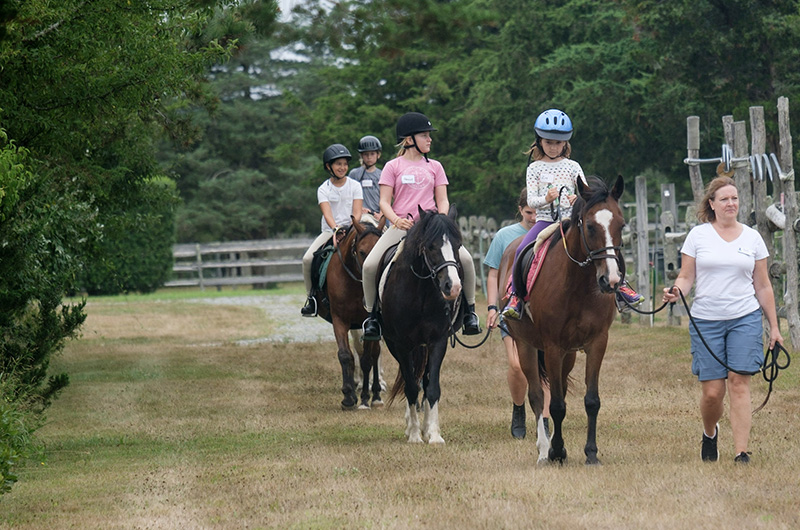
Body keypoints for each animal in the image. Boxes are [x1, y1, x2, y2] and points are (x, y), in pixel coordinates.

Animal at [314, 217, 386, 410]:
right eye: (361, 252)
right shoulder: (340, 320)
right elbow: (346, 355)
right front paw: (348, 396)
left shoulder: (368, 324)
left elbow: (367, 359)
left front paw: (364, 398)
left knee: (375, 354)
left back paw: (376, 395)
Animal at [377, 207, 466, 444]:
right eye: (431, 246)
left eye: (458, 245)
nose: (453, 287)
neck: (422, 292)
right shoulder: (401, 344)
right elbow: (410, 387)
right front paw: (415, 435)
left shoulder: (437, 341)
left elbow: (432, 387)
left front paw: (433, 435)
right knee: (413, 380)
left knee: (423, 381)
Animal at [500, 174, 625, 465]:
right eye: (590, 226)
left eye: (621, 224)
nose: (611, 280)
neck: (579, 286)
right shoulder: (552, 346)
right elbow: (555, 404)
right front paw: (556, 451)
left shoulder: (596, 343)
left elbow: (591, 401)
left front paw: (591, 453)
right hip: (526, 346)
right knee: (536, 396)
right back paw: (544, 449)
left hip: (568, 354)